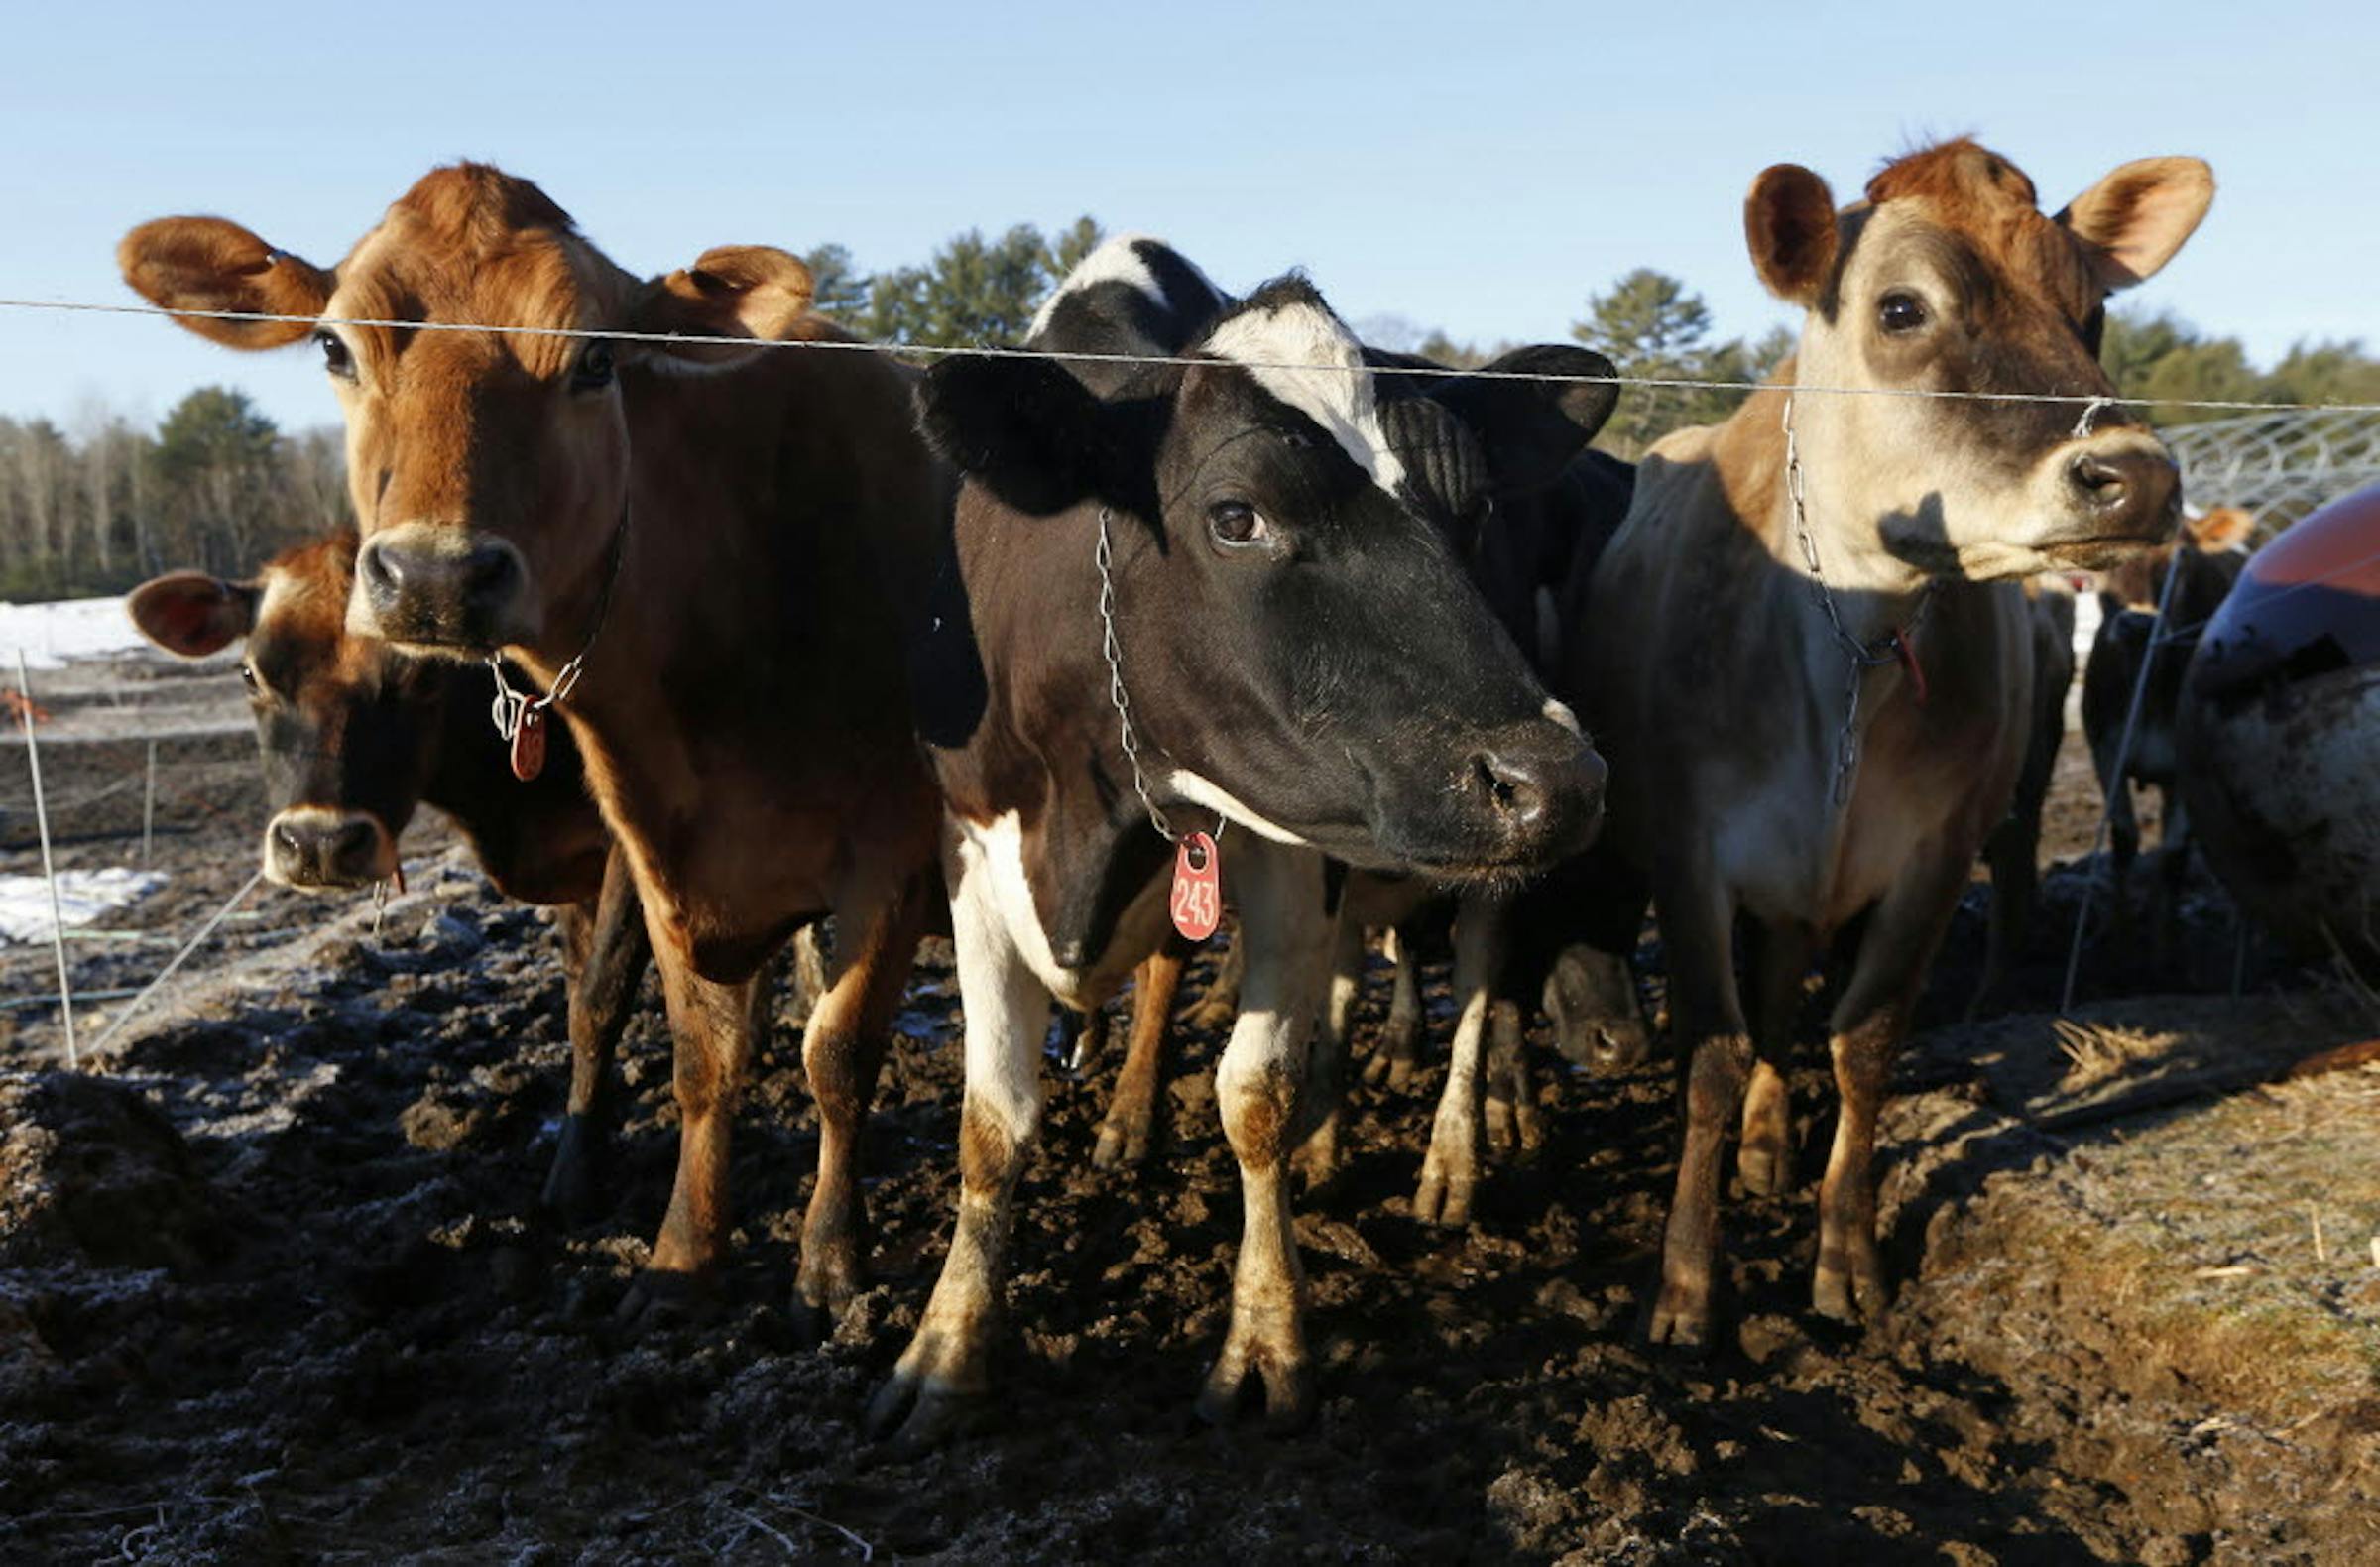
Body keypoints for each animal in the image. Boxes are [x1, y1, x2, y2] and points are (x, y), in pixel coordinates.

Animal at [125, 534, 647, 1220]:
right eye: (250, 674)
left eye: (420, 673)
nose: (318, 843)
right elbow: (577, 985)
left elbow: (599, 999)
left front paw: (573, 1181)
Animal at [867, 275, 1616, 1443]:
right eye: (1236, 516)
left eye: (1477, 508)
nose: (1559, 777)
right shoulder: (971, 844)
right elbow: (991, 1119)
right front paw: (945, 1347)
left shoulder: (1285, 848)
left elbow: (1253, 1094)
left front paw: (1266, 1338)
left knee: (1477, 976)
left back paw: (1451, 1151)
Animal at [1571, 138, 2212, 1347]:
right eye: (1902, 307)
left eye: (2095, 309)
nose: (2138, 476)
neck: (1849, 654)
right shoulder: (1689, 851)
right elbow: (1713, 1054)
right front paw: (1685, 1285)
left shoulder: (1934, 853)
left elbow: (1862, 1046)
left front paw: (1845, 1262)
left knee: (1789, 1001)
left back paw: (1772, 1149)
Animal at [2083, 505, 2253, 966]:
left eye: (2178, 555)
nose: (2136, 621)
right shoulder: (2106, 750)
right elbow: (2125, 839)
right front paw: (2120, 937)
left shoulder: (2185, 769)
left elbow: (2175, 855)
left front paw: (2166, 948)